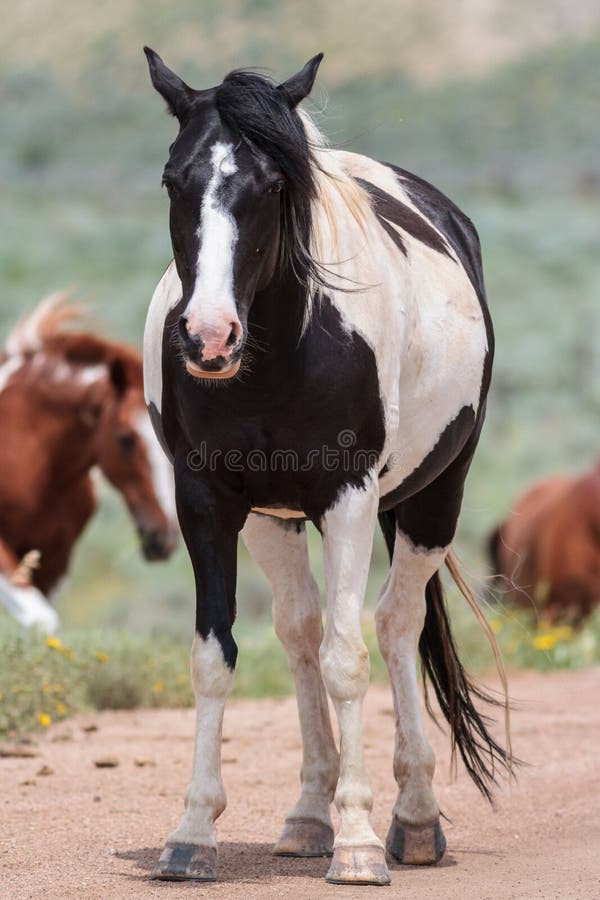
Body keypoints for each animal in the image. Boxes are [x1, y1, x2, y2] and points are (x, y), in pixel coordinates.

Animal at [143, 48, 510, 886]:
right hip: (273, 521)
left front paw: (361, 843)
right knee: (301, 631)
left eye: (273, 186)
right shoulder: (205, 502)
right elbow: (215, 658)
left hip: (433, 500)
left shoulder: (348, 498)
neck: (283, 354)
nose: (209, 337)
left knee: (395, 625)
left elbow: (351, 658)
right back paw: (310, 814)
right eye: (174, 181)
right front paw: (192, 833)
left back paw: (413, 818)